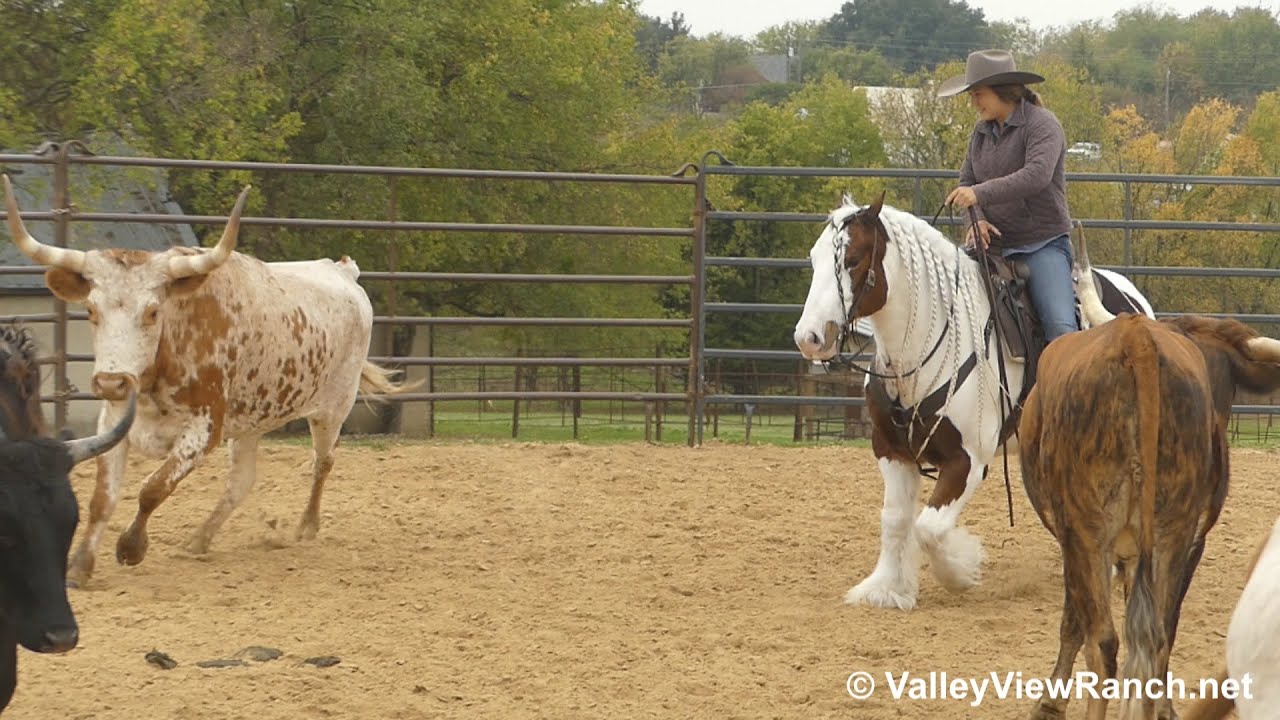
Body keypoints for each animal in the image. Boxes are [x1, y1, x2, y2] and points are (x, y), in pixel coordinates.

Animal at [3, 174, 411, 587]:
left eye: (153, 311)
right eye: (90, 310)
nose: (112, 382)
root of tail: (342, 271)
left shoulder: (203, 430)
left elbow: (153, 488)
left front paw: (131, 547)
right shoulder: (113, 422)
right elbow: (103, 499)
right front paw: (79, 566)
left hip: (332, 409)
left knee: (322, 463)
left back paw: (306, 527)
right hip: (252, 420)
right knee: (242, 481)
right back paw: (200, 538)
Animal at [1018, 233, 1280, 720]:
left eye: (1226, 380)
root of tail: (1138, 342)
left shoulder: (1081, 540)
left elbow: (1077, 622)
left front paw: (1051, 700)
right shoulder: (1181, 544)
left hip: (1089, 530)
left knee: (1105, 642)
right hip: (1170, 535)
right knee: (1153, 637)